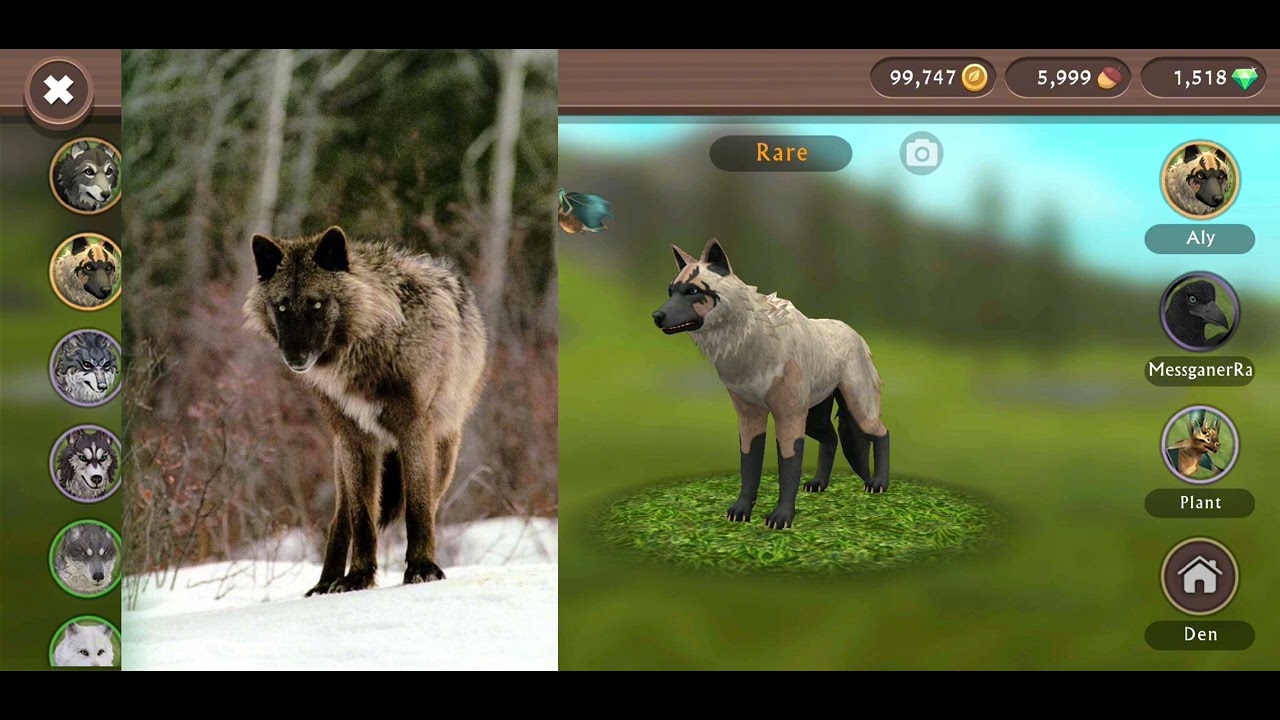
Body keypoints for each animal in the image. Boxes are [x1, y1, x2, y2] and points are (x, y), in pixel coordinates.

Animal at [244, 226, 488, 595]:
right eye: (282, 307)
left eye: (317, 303)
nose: (295, 358)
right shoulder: (355, 438)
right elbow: (361, 518)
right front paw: (358, 577)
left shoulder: (414, 430)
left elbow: (418, 509)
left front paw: (422, 568)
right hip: (343, 459)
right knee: (341, 519)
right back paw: (326, 582)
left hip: (443, 457)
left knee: (427, 504)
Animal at [652, 239, 890, 530]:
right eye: (671, 291)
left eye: (693, 291)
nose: (656, 316)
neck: (749, 344)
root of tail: (856, 335)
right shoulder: (750, 417)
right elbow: (749, 466)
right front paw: (742, 510)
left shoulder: (788, 417)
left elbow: (788, 468)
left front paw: (782, 517)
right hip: (814, 419)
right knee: (832, 439)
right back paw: (819, 484)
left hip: (858, 411)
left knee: (882, 434)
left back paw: (879, 483)